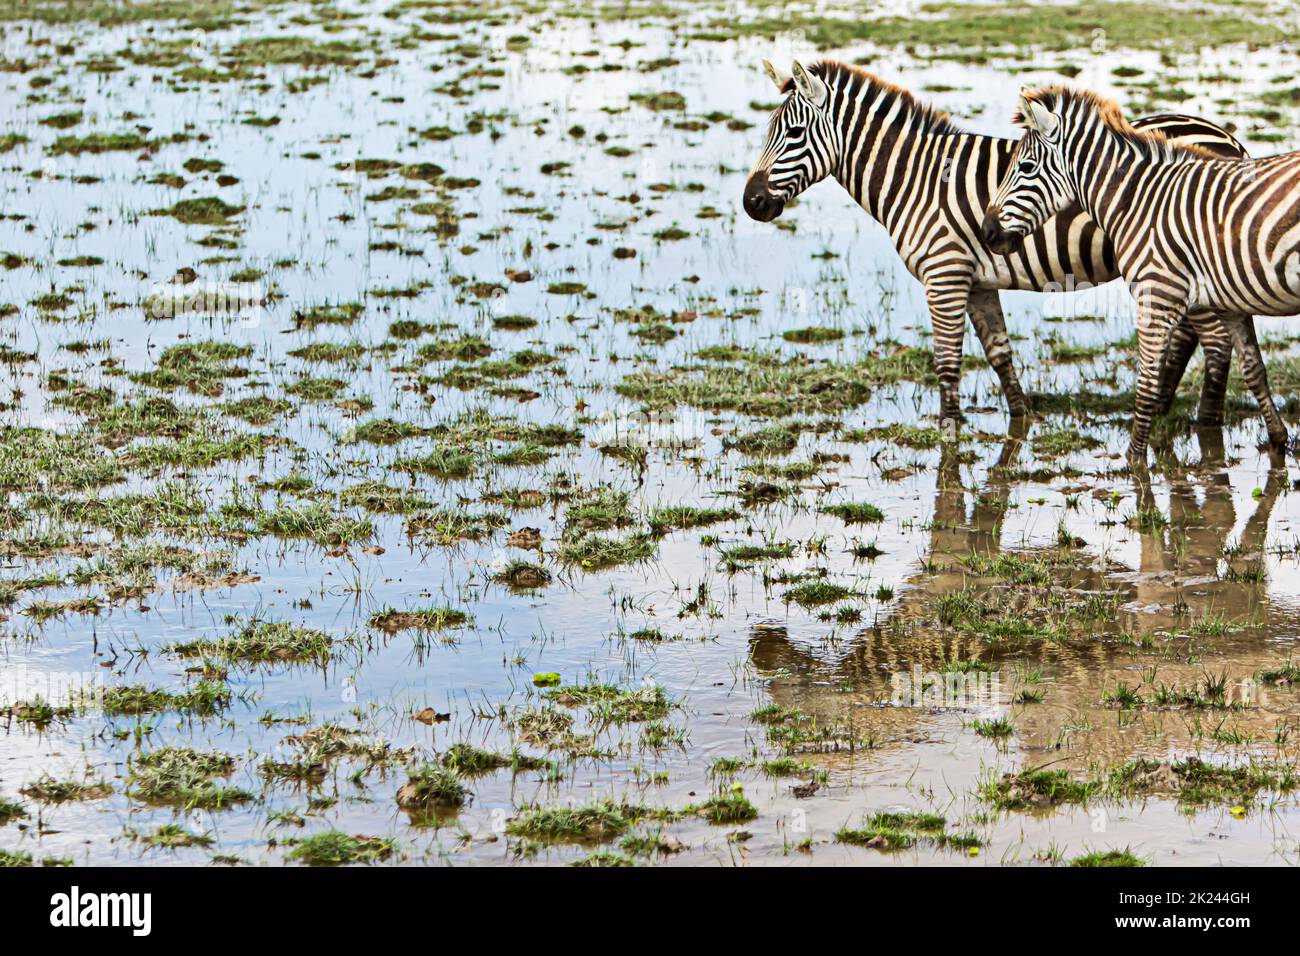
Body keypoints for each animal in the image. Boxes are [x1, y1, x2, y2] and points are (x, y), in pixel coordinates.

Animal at [742, 59, 1265, 434]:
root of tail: (1227, 138)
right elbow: (999, 353)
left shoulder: (944, 274)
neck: (916, 178)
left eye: (792, 134)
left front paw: (949, 432)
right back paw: (1163, 408)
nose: (750, 203)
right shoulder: (976, 281)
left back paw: (1201, 423)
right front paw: (1022, 417)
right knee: (1193, 338)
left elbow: (947, 362)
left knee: (1213, 342)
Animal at [982, 85, 1292, 462]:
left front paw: (1135, 462)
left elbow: (1145, 381)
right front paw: (1278, 441)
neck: (1137, 197)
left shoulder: (1156, 292)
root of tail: (1231, 141)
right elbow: (1254, 367)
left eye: (1025, 167)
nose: (986, 231)